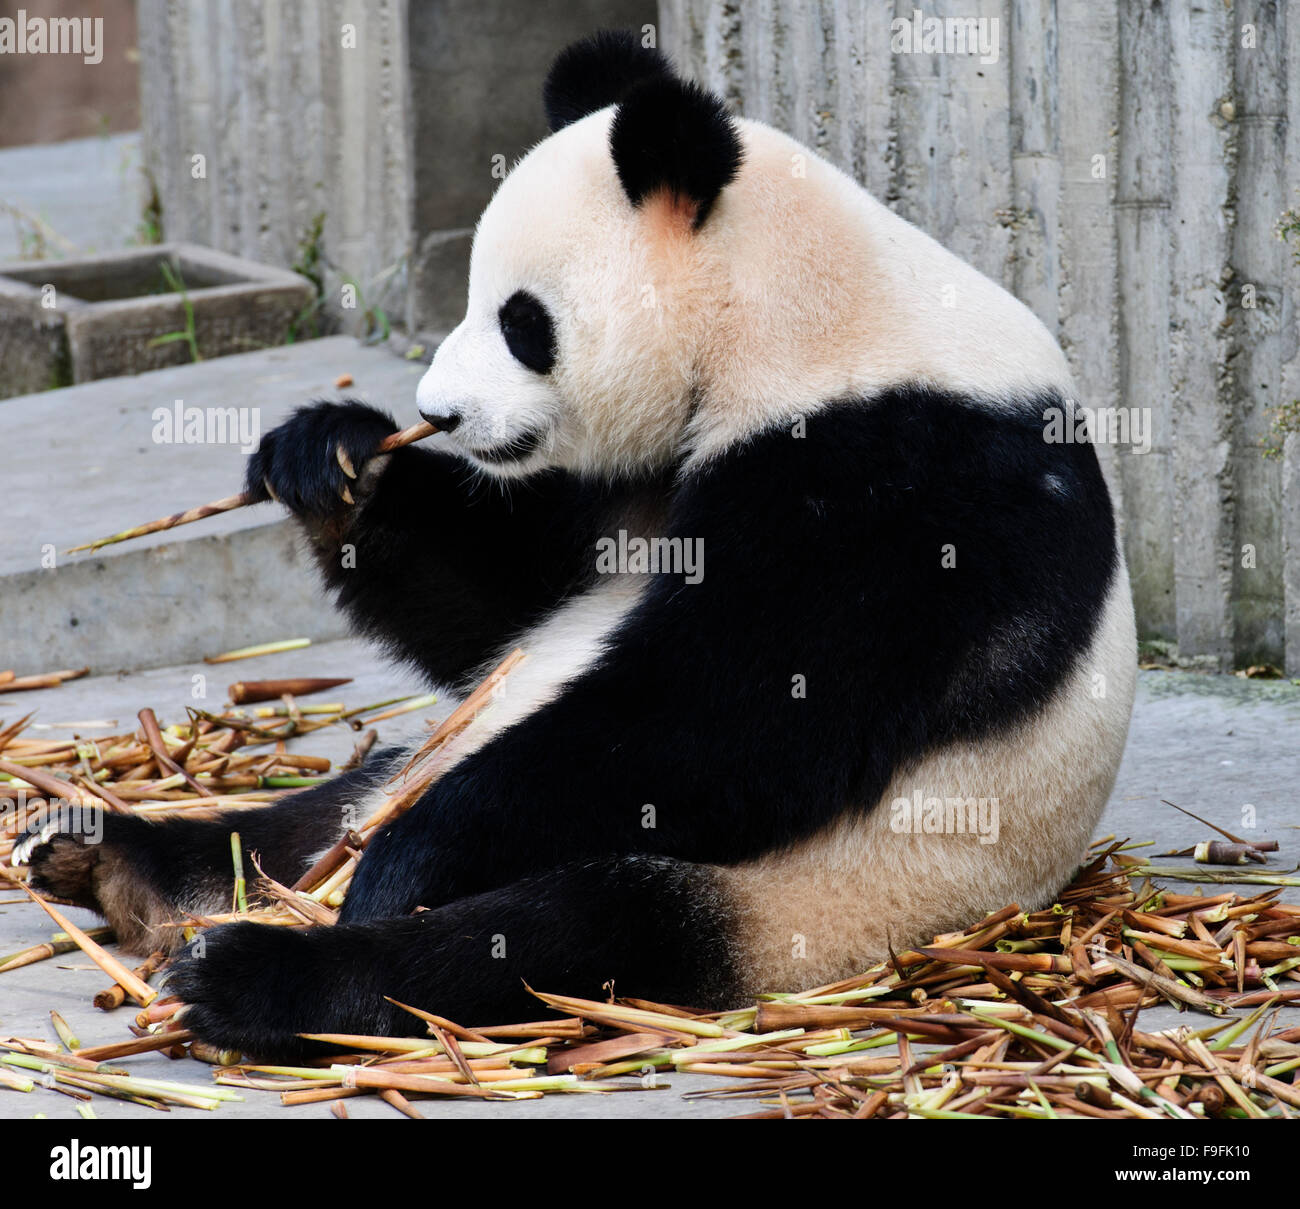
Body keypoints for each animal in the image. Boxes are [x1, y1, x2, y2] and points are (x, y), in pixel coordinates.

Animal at [16, 31, 1135, 1058]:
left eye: (522, 321)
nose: (440, 412)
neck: (802, 318)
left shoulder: (898, 479)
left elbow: (729, 717)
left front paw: (406, 870)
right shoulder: (627, 487)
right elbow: (498, 604)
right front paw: (332, 459)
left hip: (822, 898)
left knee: (568, 928)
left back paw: (266, 973)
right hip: (434, 753)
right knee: (321, 812)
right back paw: (109, 856)